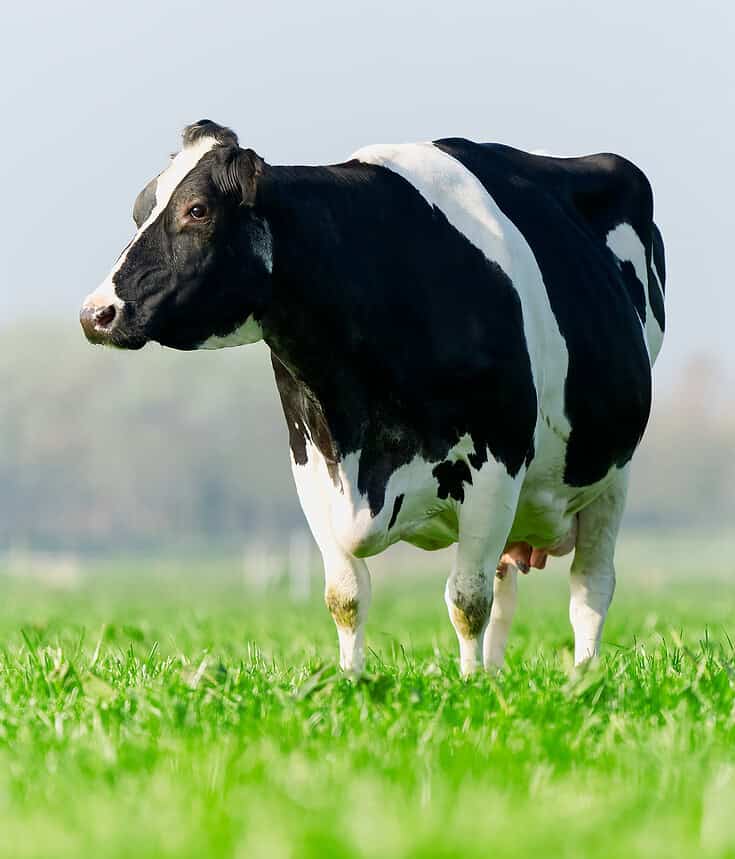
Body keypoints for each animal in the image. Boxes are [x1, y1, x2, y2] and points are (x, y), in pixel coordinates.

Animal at [80, 120, 666, 676]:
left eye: (197, 210)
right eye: (140, 210)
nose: (95, 314)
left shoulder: (497, 463)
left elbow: (466, 600)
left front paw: (468, 684)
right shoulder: (314, 467)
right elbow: (346, 596)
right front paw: (351, 678)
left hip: (613, 473)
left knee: (590, 587)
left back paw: (581, 674)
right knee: (507, 590)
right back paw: (499, 671)